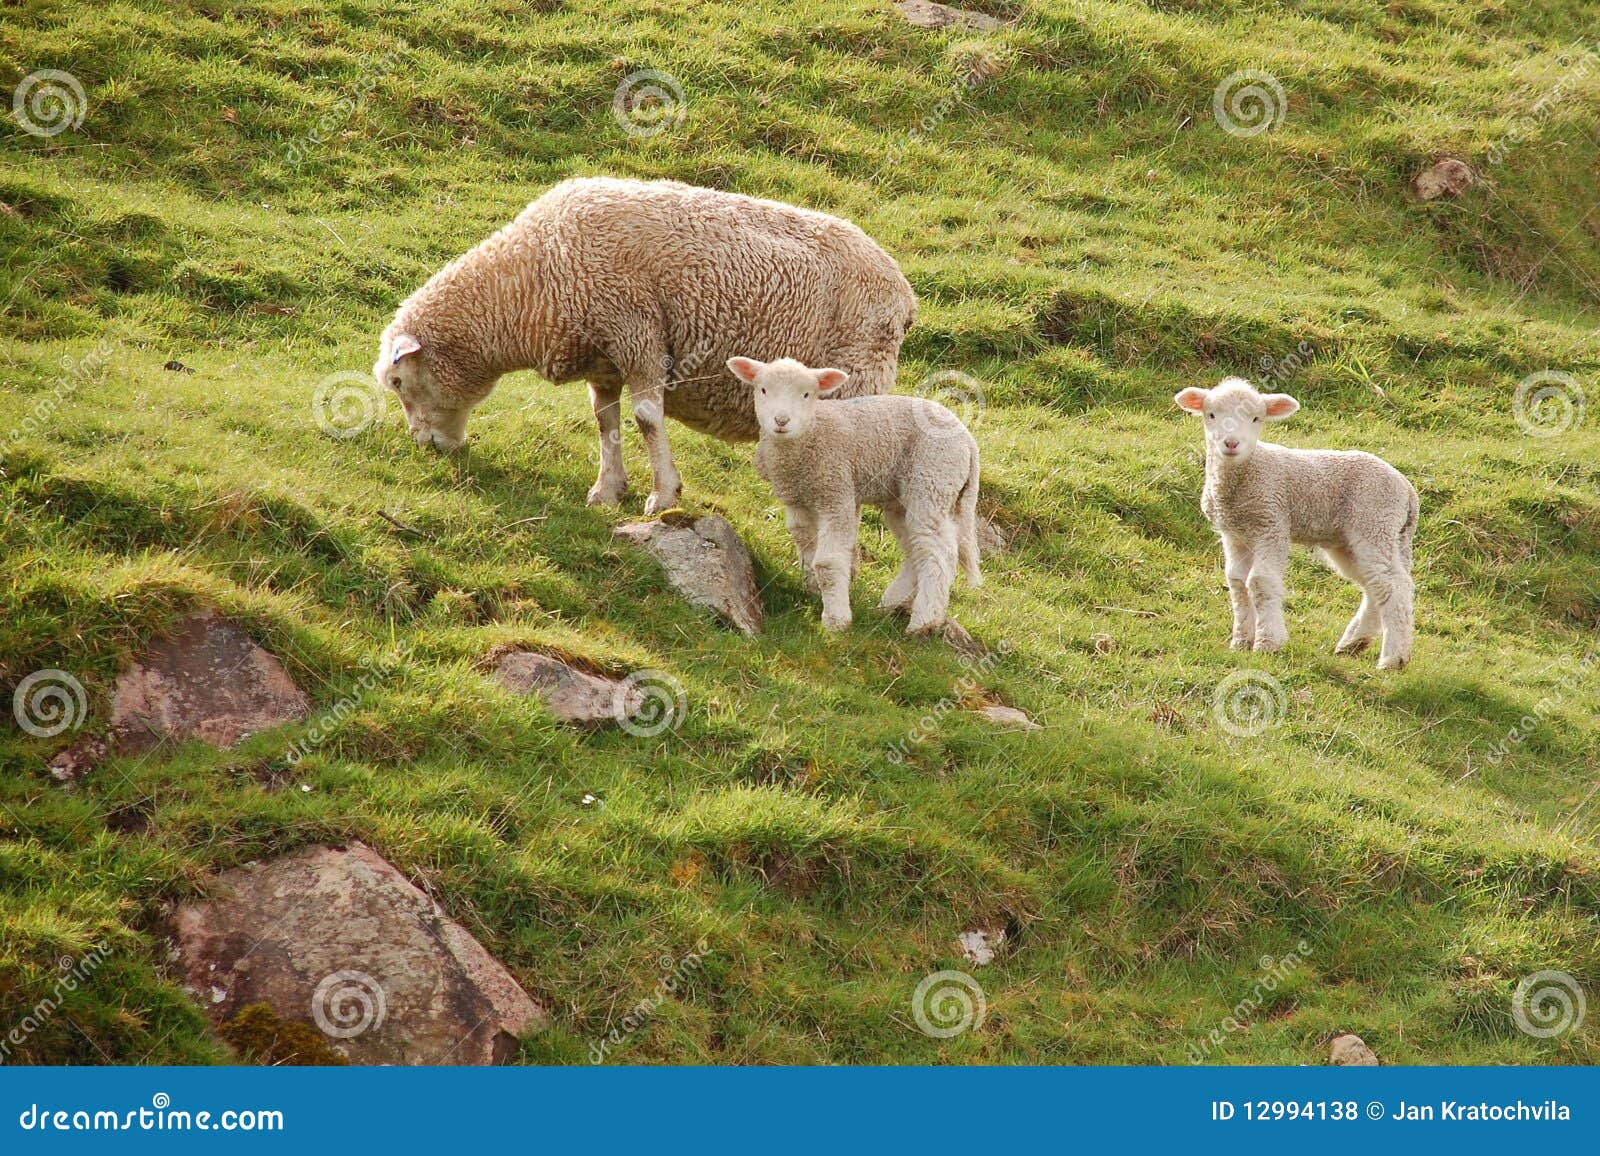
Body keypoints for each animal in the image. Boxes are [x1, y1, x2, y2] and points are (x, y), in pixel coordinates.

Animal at [373, 177, 916, 514]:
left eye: (398, 381)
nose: (424, 445)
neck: (529, 288)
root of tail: (903, 292)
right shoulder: (605, 358)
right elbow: (605, 421)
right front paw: (607, 490)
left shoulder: (638, 333)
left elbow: (647, 419)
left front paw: (663, 495)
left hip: (856, 377)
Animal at [727, 356, 981, 635]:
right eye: (763, 389)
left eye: (806, 394)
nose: (781, 421)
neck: (810, 435)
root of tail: (969, 440)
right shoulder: (798, 503)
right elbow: (807, 547)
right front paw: (815, 590)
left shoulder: (836, 493)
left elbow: (827, 562)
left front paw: (836, 619)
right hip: (903, 498)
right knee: (916, 549)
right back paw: (889, 604)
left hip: (933, 480)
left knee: (938, 552)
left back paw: (924, 621)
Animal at [1174, 377, 1419, 670]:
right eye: (1211, 415)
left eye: (1256, 418)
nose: (1231, 443)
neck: (1248, 473)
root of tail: (1407, 490)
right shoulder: (1235, 534)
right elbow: (1237, 582)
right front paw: (1241, 641)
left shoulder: (1272, 524)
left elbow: (1260, 582)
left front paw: (1267, 643)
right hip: (1354, 540)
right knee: (1376, 586)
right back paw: (1352, 643)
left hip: (1374, 522)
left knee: (1394, 586)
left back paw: (1393, 658)